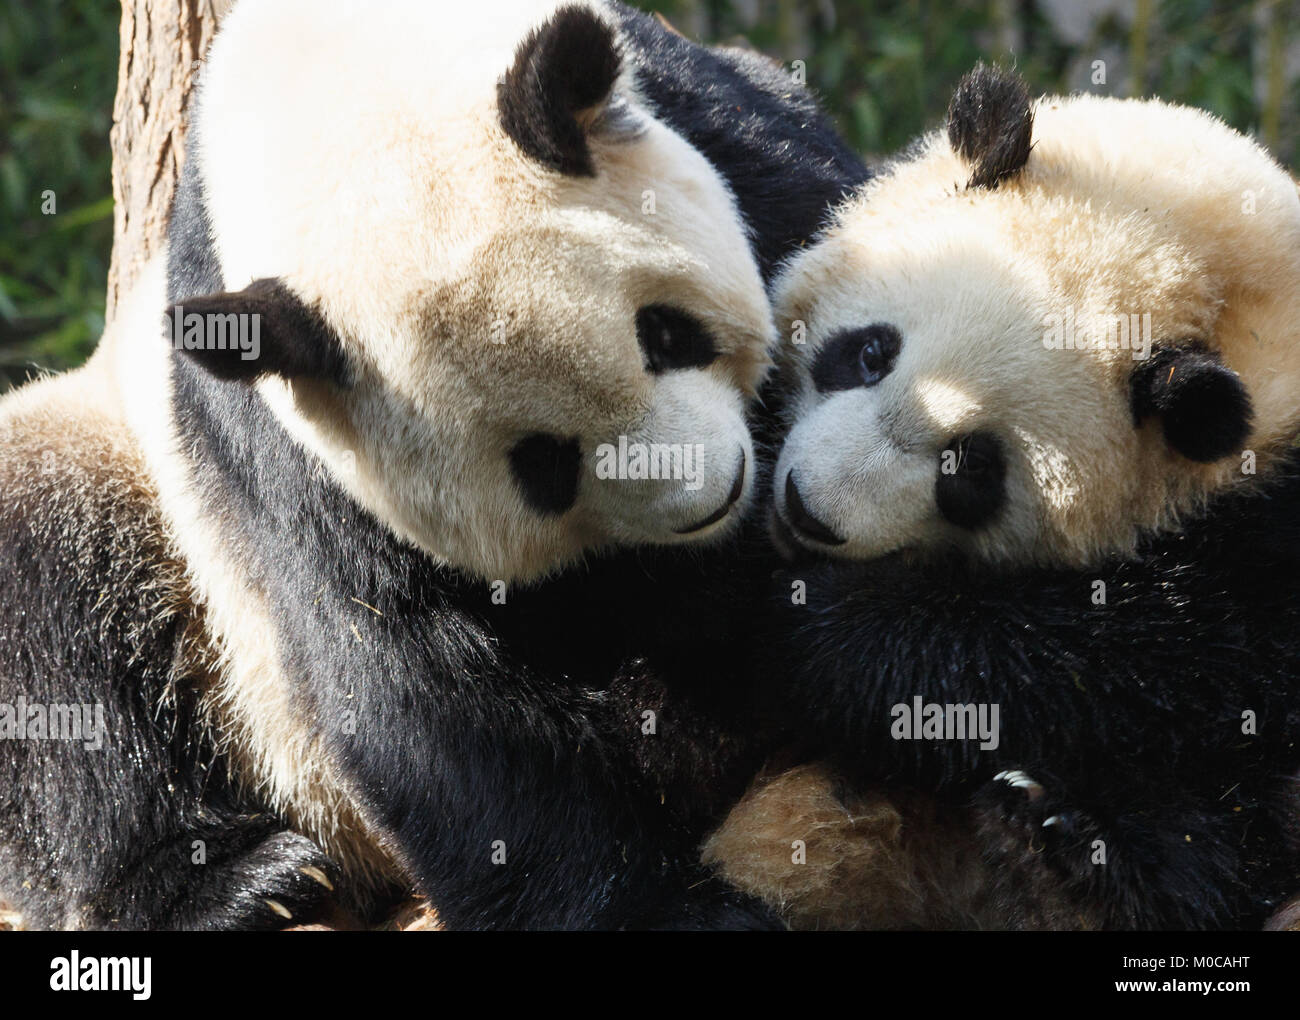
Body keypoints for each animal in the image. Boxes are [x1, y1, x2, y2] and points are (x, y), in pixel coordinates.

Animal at [0, 0, 866, 929]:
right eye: (542, 465)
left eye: (666, 332)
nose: (713, 496)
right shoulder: (281, 444)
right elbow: (411, 685)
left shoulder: (731, 128)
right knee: (54, 645)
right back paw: (238, 883)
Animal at [703, 65, 1300, 930]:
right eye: (871, 352)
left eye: (970, 469)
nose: (809, 508)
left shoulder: (1265, 534)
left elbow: (1149, 654)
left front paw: (819, 625)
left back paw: (1063, 857)